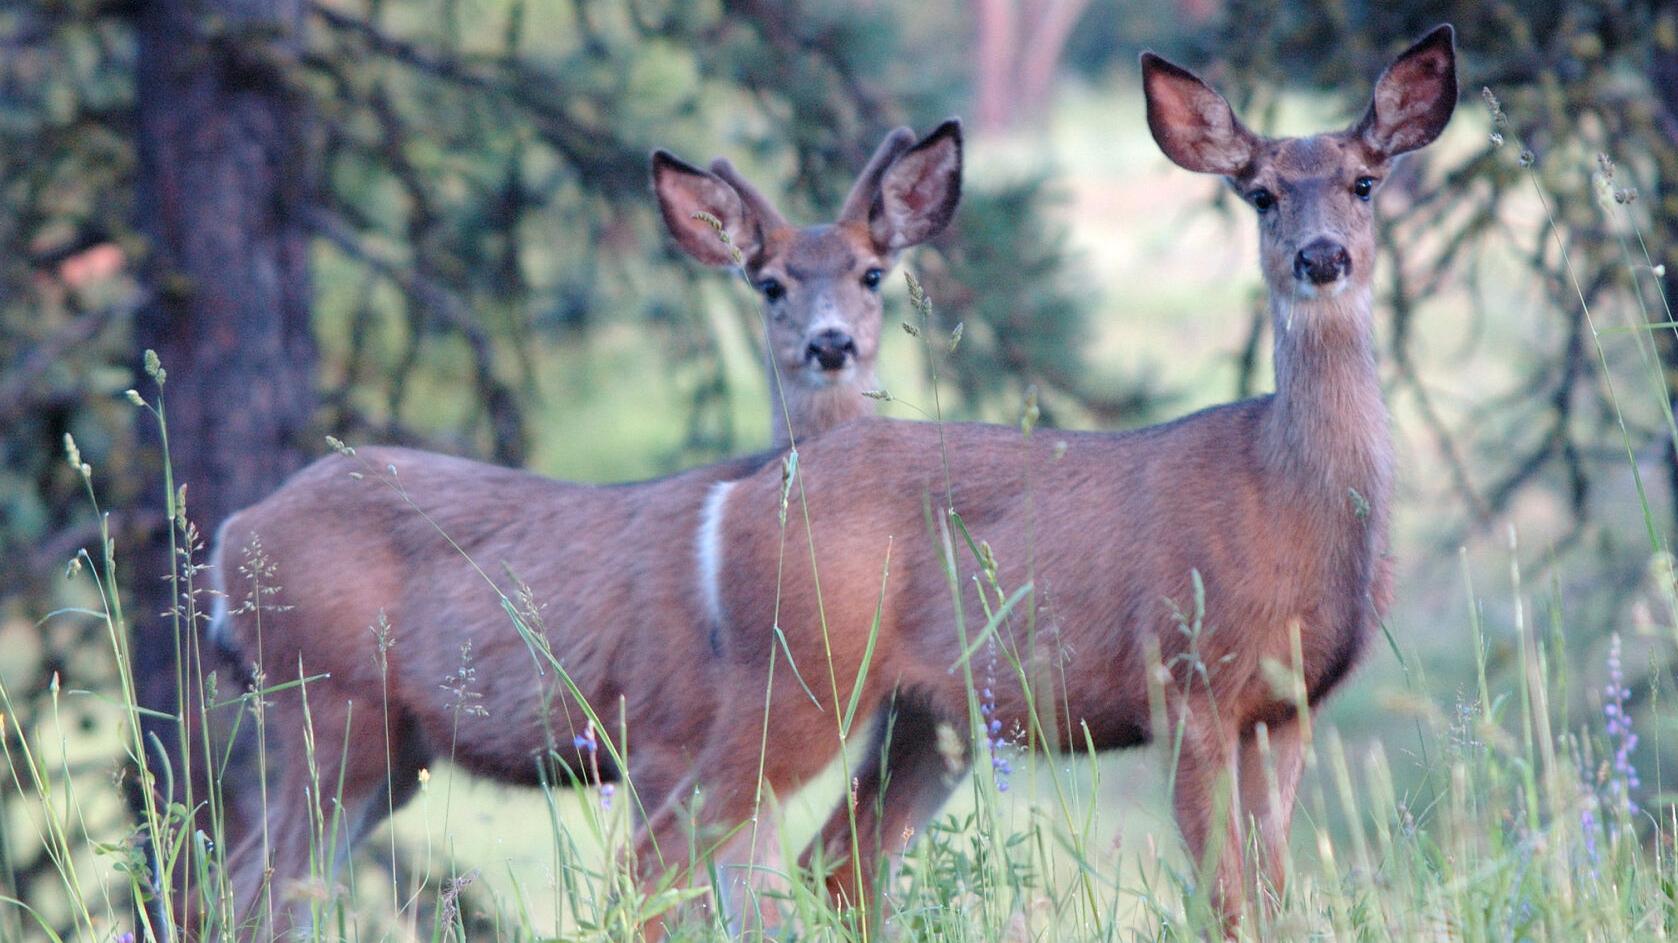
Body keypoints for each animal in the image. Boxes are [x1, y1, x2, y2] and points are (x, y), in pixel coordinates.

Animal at [203, 120, 962, 939]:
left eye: (873, 274)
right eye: (770, 284)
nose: (830, 344)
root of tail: (231, 535)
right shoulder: (664, 733)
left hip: (393, 748)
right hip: (332, 704)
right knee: (248, 888)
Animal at [633, 26, 1456, 935]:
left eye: (1364, 182)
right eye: (1262, 195)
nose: (1322, 256)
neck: (1287, 498)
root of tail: (736, 497)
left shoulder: (1287, 706)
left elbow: (1273, 893)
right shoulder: (1186, 676)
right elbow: (1224, 897)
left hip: (921, 712)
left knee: (834, 860)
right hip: (798, 666)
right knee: (665, 845)